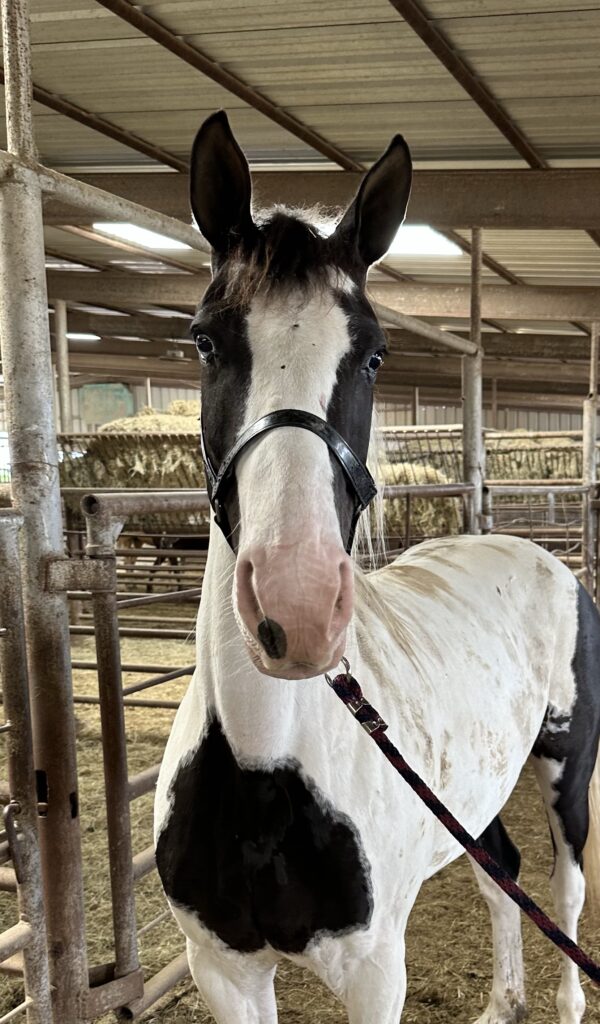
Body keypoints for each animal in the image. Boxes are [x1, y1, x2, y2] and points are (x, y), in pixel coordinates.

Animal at [154, 110, 600, 1024]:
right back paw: (502, 1003)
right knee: (501, 873)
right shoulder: (224, 971)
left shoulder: (374, 971)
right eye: (206, 339)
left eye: (375, 354)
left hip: (567, 769)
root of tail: (539, 556)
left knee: (564, 893)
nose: (294, 605)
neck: (262, 771)